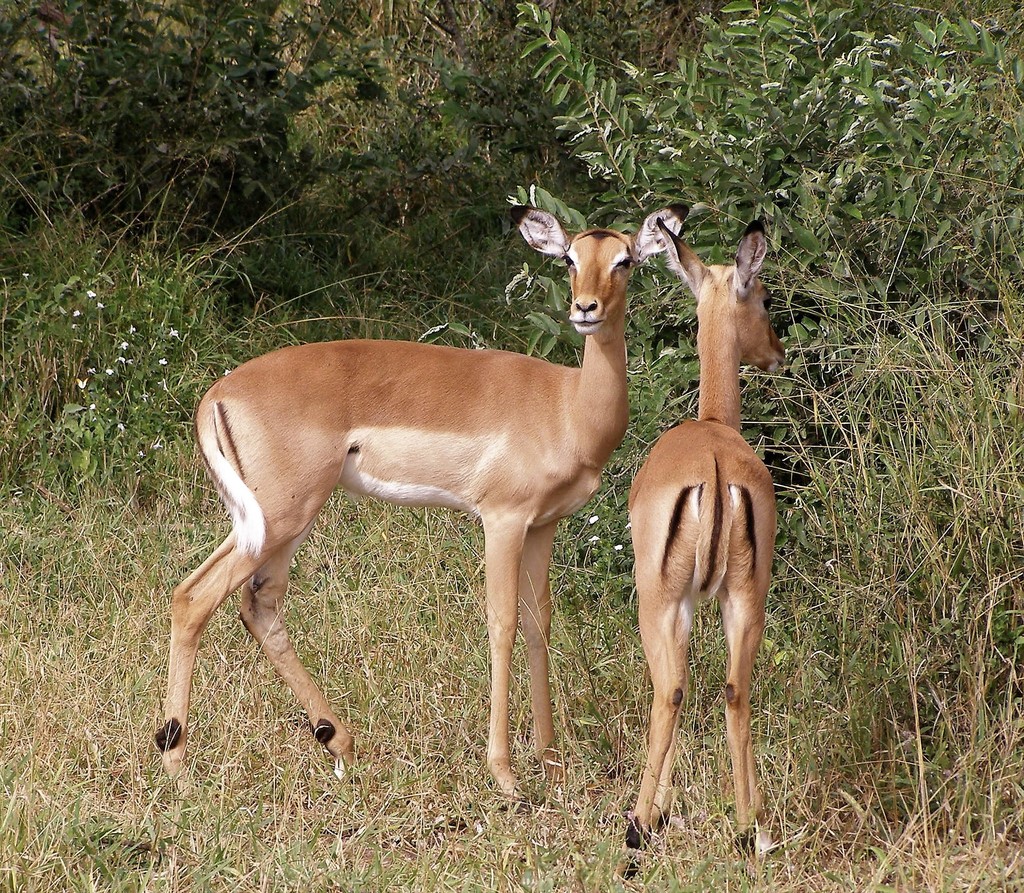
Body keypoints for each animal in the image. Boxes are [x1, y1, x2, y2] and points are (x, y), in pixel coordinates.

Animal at [154, 204, 687, 798]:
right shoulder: (502, 519)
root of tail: (217, 394)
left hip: (279, 521)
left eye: (624, 260)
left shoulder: (542, 526)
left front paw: (551, 763)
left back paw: (339, 741)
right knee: (193, 597)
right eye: (570, 258)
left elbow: (537, 623)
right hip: (279, 515)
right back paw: (176, 764)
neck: (566, 406)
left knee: (257, 604)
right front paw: (505, 775)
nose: (585, 309)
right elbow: (501, 622)